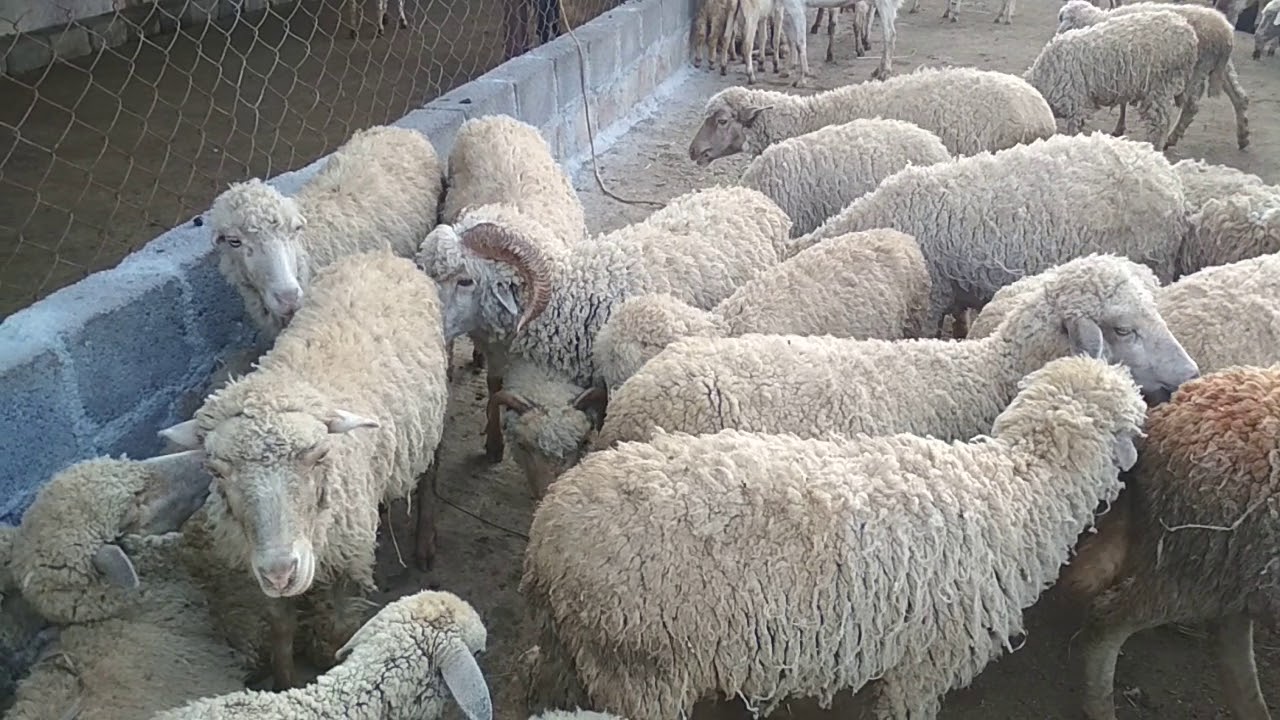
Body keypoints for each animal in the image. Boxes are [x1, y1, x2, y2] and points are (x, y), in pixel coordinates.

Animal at [157, 250, 450, 691]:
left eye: (318, 455)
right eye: (217, 471)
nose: (282, 573)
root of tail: (378, 255)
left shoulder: (346, 565)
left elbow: (339, 634)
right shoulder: (258, 567)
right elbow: (280, 632)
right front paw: (283, 683)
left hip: (430, 422)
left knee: (430, 474)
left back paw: (425, 542)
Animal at [416, 114, 587, 463]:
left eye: (465, 280)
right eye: (428, 274)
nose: (430, 325)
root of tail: (491, 118)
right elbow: (495, 386)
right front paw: (494, 443)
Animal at [1024, 10, 1198, 150]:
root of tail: (1188, 32)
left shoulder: (1075, 103)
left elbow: (1073, 132)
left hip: (1160, 86)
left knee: (1160, 125)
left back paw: (1155, 148)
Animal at [1055, 0, 1250, 151]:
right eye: (1062, 16)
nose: (1059, 33)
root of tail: (1225, 31)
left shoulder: (1124, 69)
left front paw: (1119, 127)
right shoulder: (1126, 71)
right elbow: (1123, 103)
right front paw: (1119, 127)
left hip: (1195, 72)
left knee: (1191, 107)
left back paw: (1171, 138)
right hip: (1219, 68)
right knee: (1239, 97)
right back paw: (1243, 135)